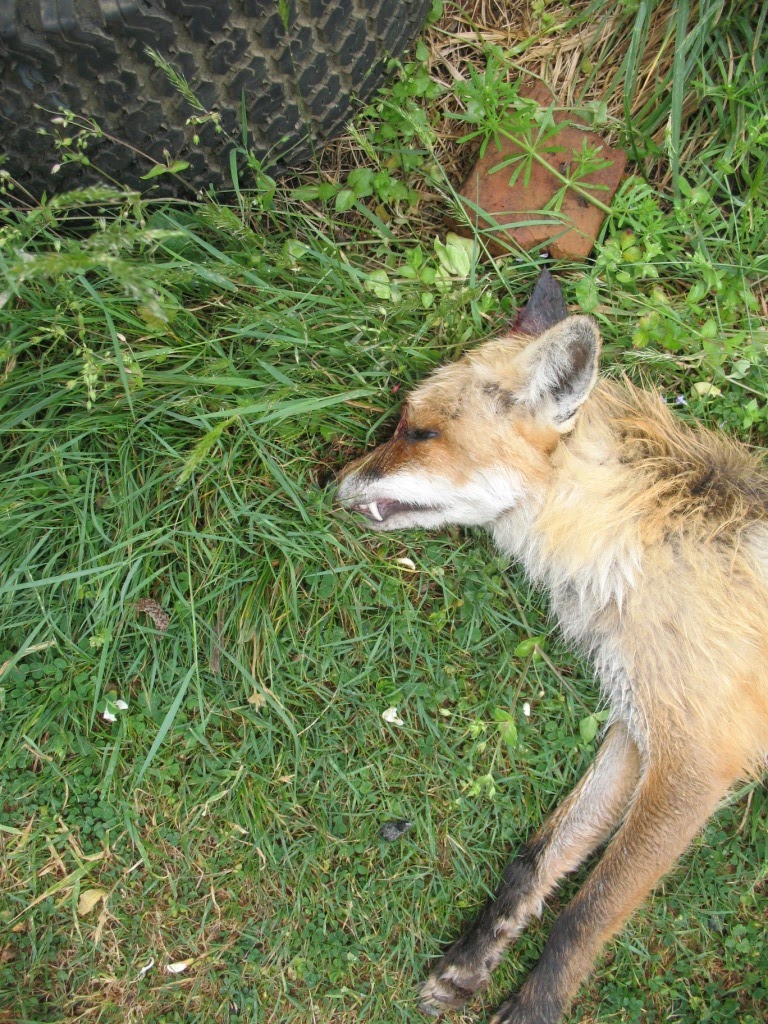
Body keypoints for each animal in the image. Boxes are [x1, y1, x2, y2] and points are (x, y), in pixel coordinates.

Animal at [336, 271, 768, 1024]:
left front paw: (534, 1005)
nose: (335, 485)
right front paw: (471, 962)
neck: (646, 539)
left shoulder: (696, 764)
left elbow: (585, 914)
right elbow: (537, 857)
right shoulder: (639, 725)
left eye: (420, 432)